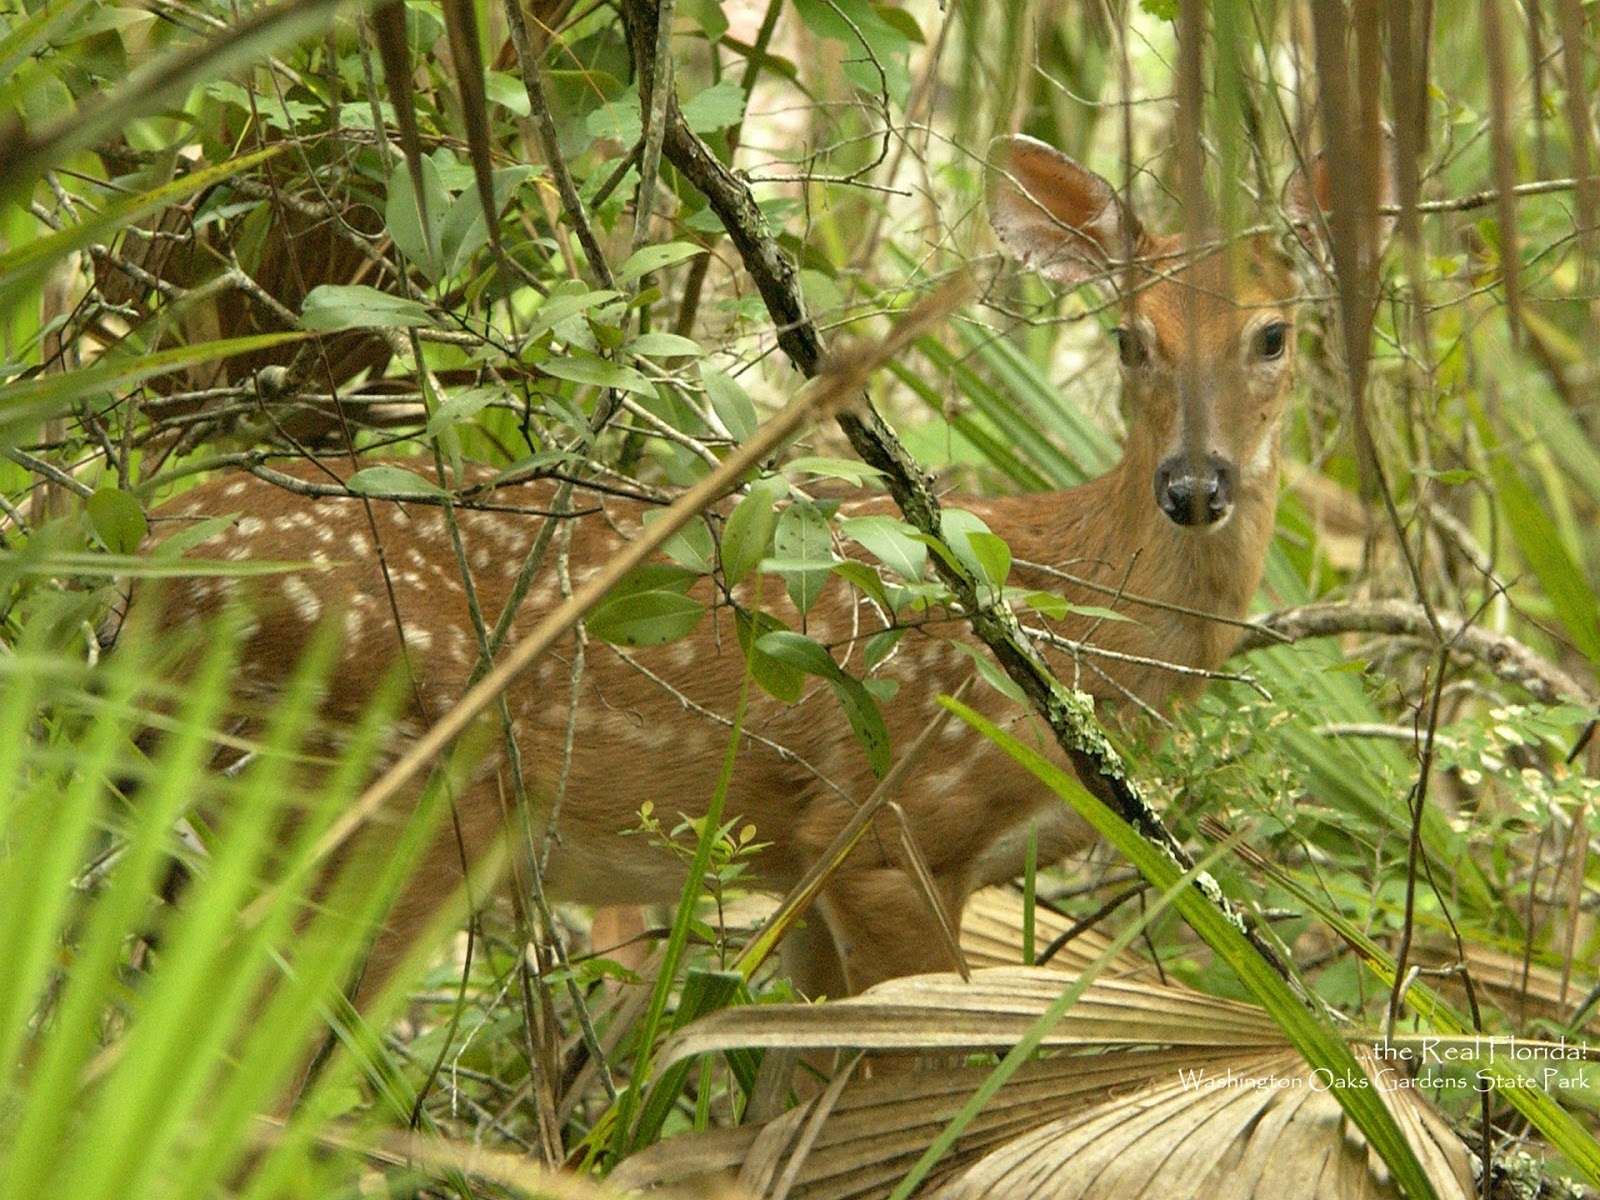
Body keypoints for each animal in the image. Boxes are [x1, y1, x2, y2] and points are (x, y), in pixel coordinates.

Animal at [127, 134, 1345, 1010]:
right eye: (1134, 338)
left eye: (1274, 334)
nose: (1194, 484)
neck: (1070, 613)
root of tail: (137, 564)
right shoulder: (884, 828)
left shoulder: (802, 871)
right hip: (380, 795)